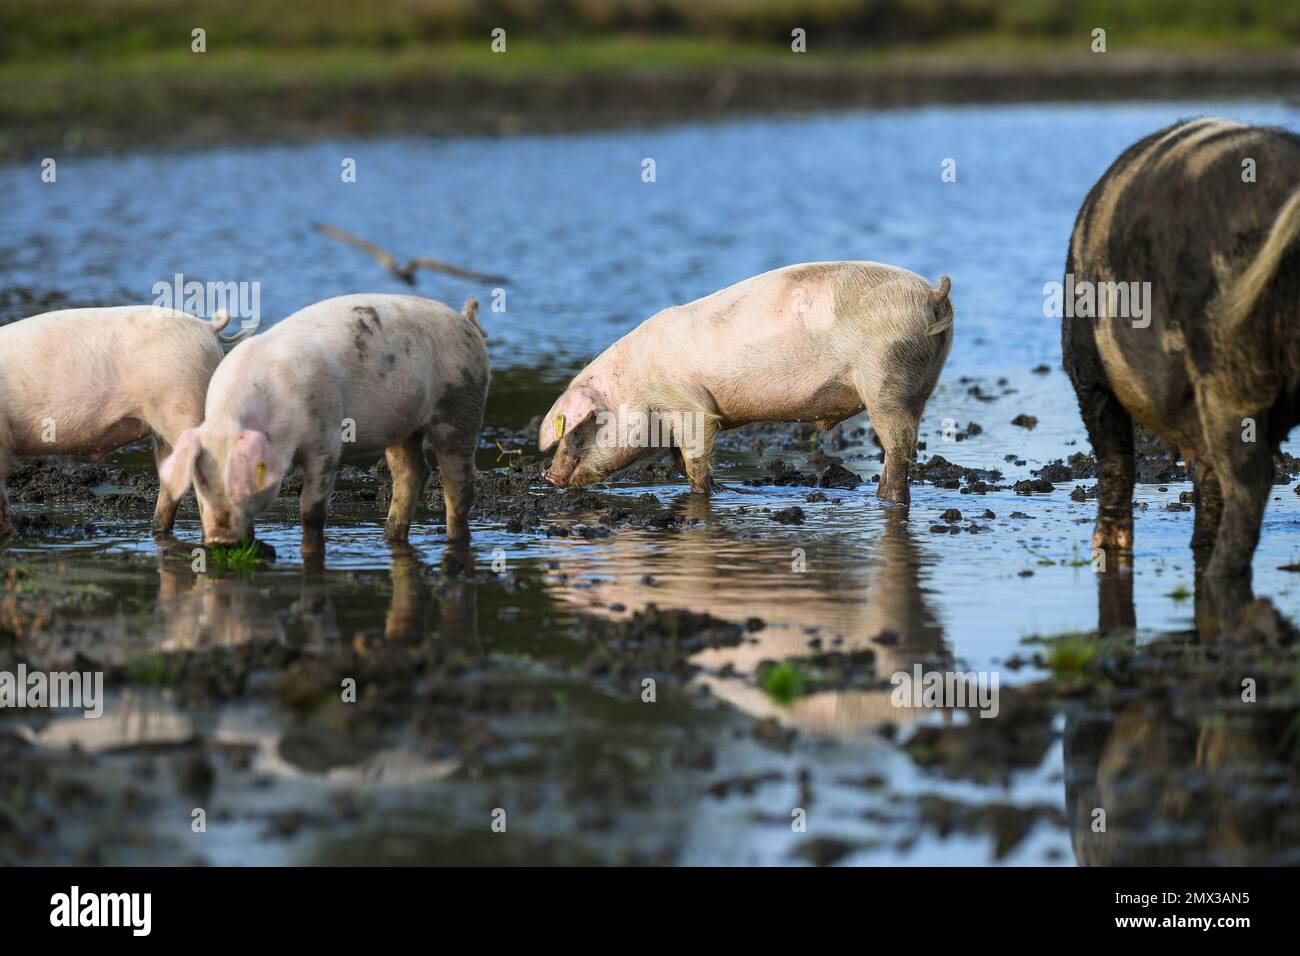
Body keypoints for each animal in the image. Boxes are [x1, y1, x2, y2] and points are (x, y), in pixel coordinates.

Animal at [157, 293, 488, 553]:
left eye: (242, 482)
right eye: (201, 483)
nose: (219, 539)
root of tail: (466, 322)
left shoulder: (326, 442)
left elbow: (311, 511)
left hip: (461, 408)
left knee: (458, 484)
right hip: (404, 427)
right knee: (412, 473)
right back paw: (389, 538)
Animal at [538, 261, 954, 504]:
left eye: (581, 429)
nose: (549, 476)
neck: (639, 388)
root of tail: (934, 294)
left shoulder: (689, 404)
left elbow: (695, 457)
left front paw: (708, 492)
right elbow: (678, 459)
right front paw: (722, 489)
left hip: (883, 381)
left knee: (898, 447)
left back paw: (886, 499)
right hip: (917, 387)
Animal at [1063, 117, 1300, 581]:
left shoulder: (1085, 364)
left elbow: (1114, 455)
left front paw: (1107, 550)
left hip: (1227, 360)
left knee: (1249, 476)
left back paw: (1220, 571)